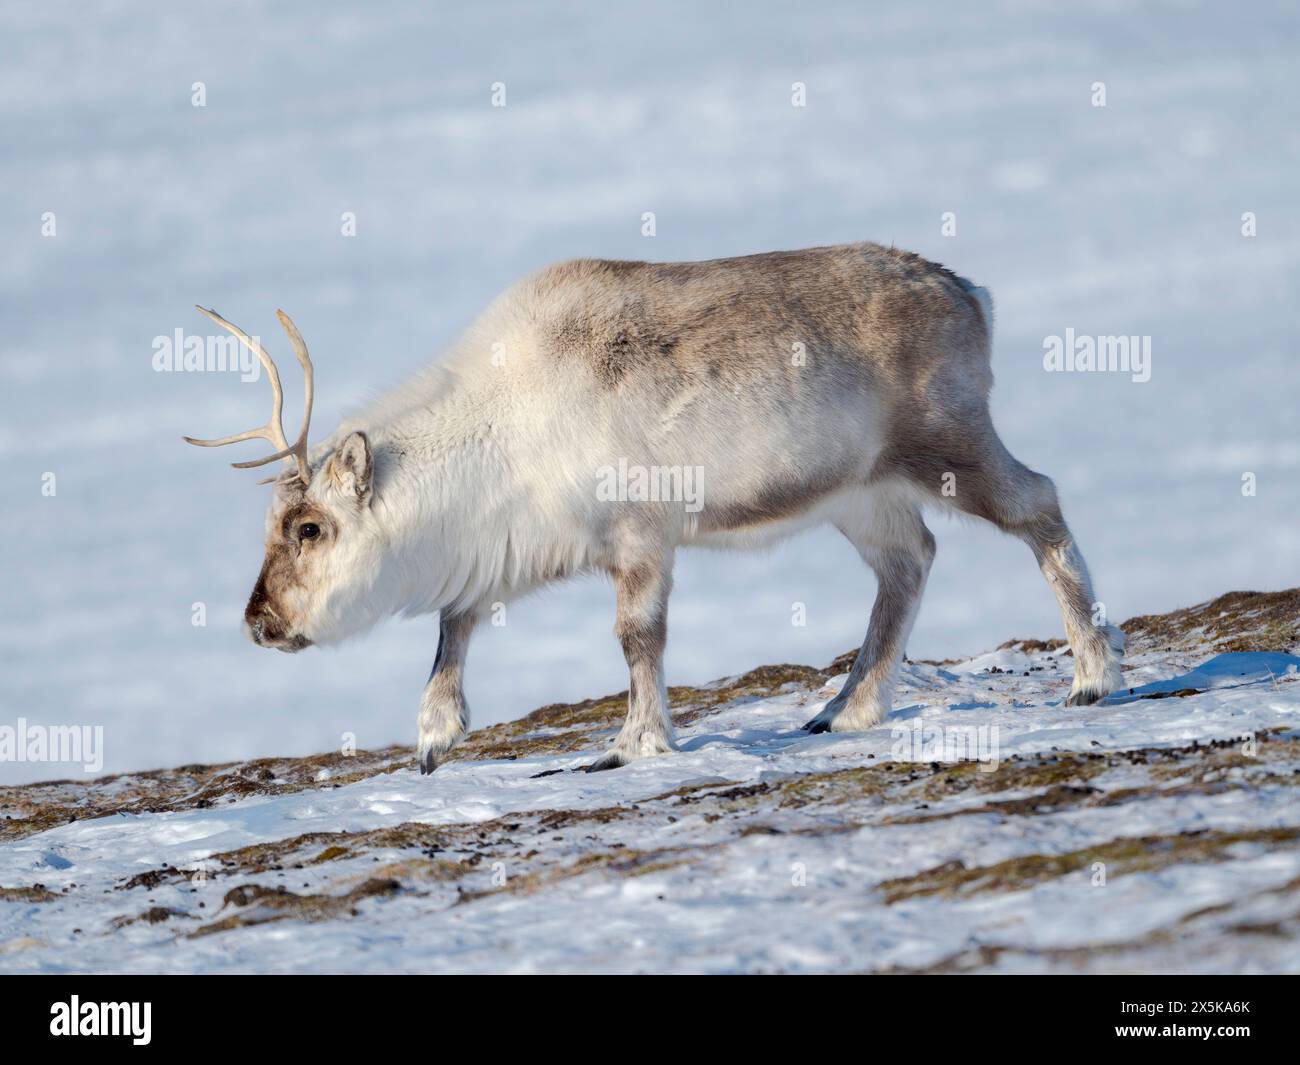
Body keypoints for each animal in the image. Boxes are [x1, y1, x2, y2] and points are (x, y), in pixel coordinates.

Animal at [186, 242, 1125, 773]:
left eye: (311, 527)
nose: (259, 620)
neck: (495, 433)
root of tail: (973, 296)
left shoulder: (640, 533)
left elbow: (637, 639)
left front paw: (633, 744)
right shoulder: (523, 548)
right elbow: (455, 623)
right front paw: (434, 737)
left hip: (947, 444)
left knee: (1039, 503)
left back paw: (1094, 675)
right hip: (860, 492)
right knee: (910, 562)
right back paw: (843, 709)